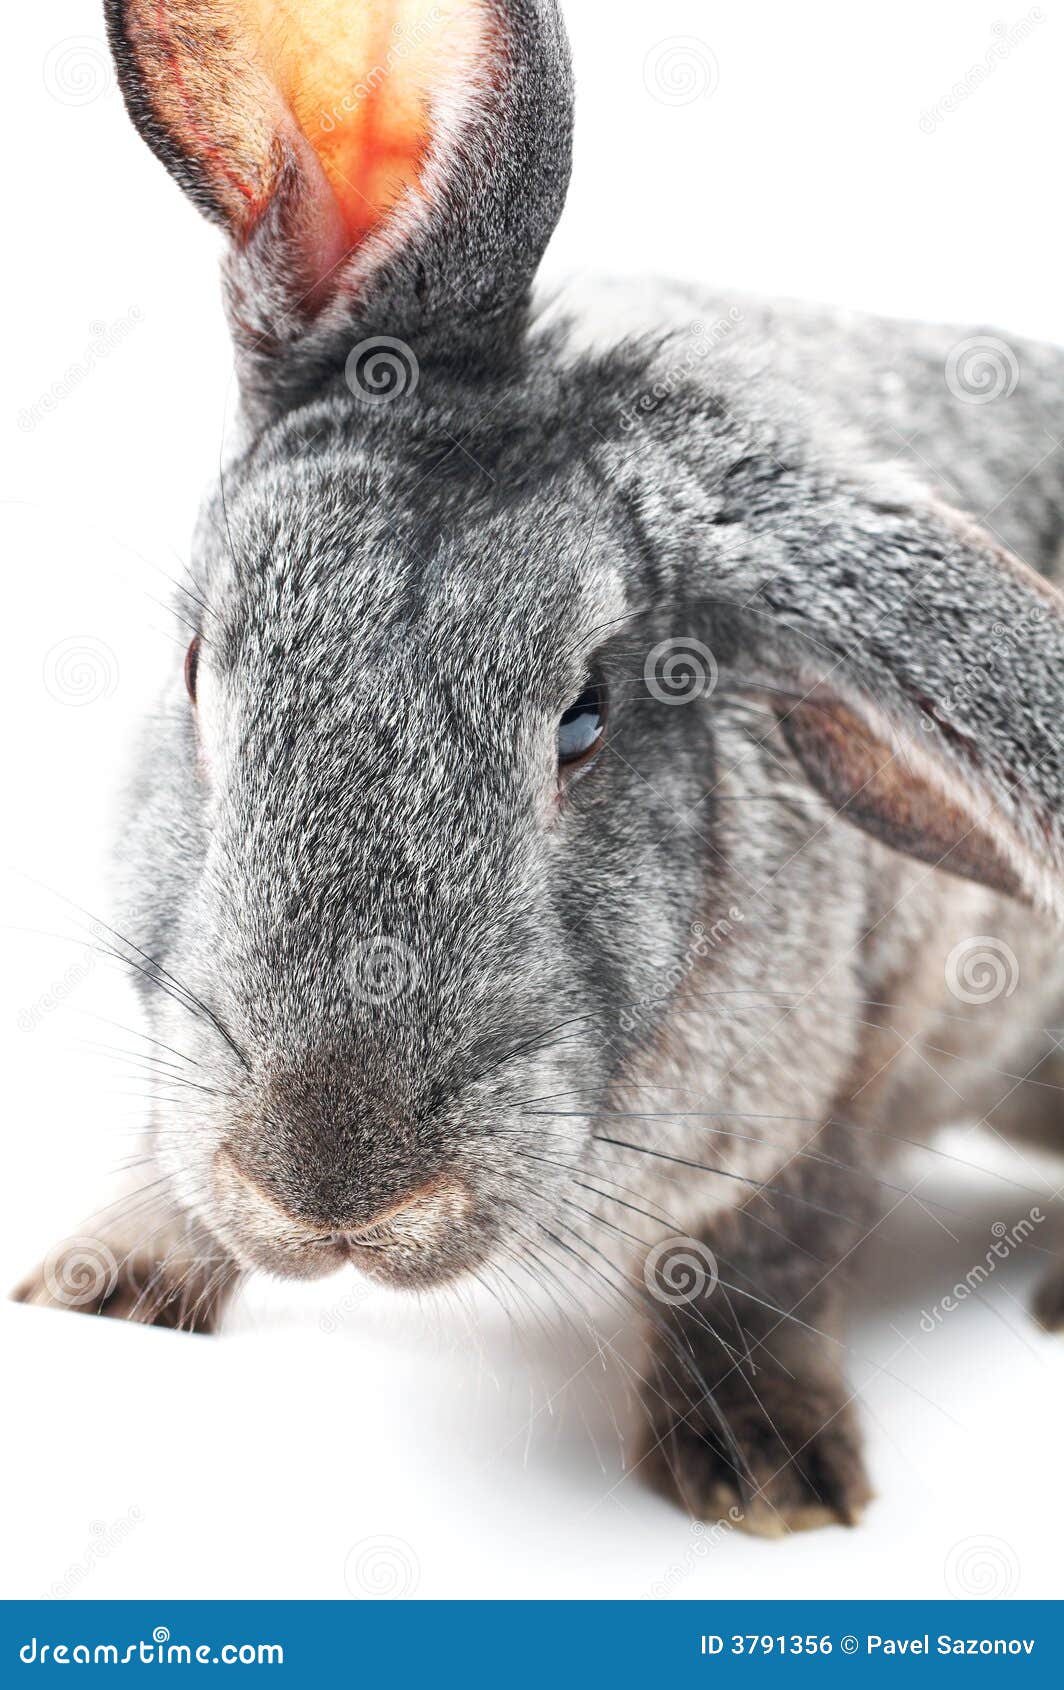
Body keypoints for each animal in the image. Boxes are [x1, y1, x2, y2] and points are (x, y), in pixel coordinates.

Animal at [15, 0, 1064, 1536]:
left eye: (587, 719)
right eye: (201, 665)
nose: (329, 1189)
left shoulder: (865, 1043)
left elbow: (773, 1246)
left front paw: (765, 1473)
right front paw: (103, 1289)